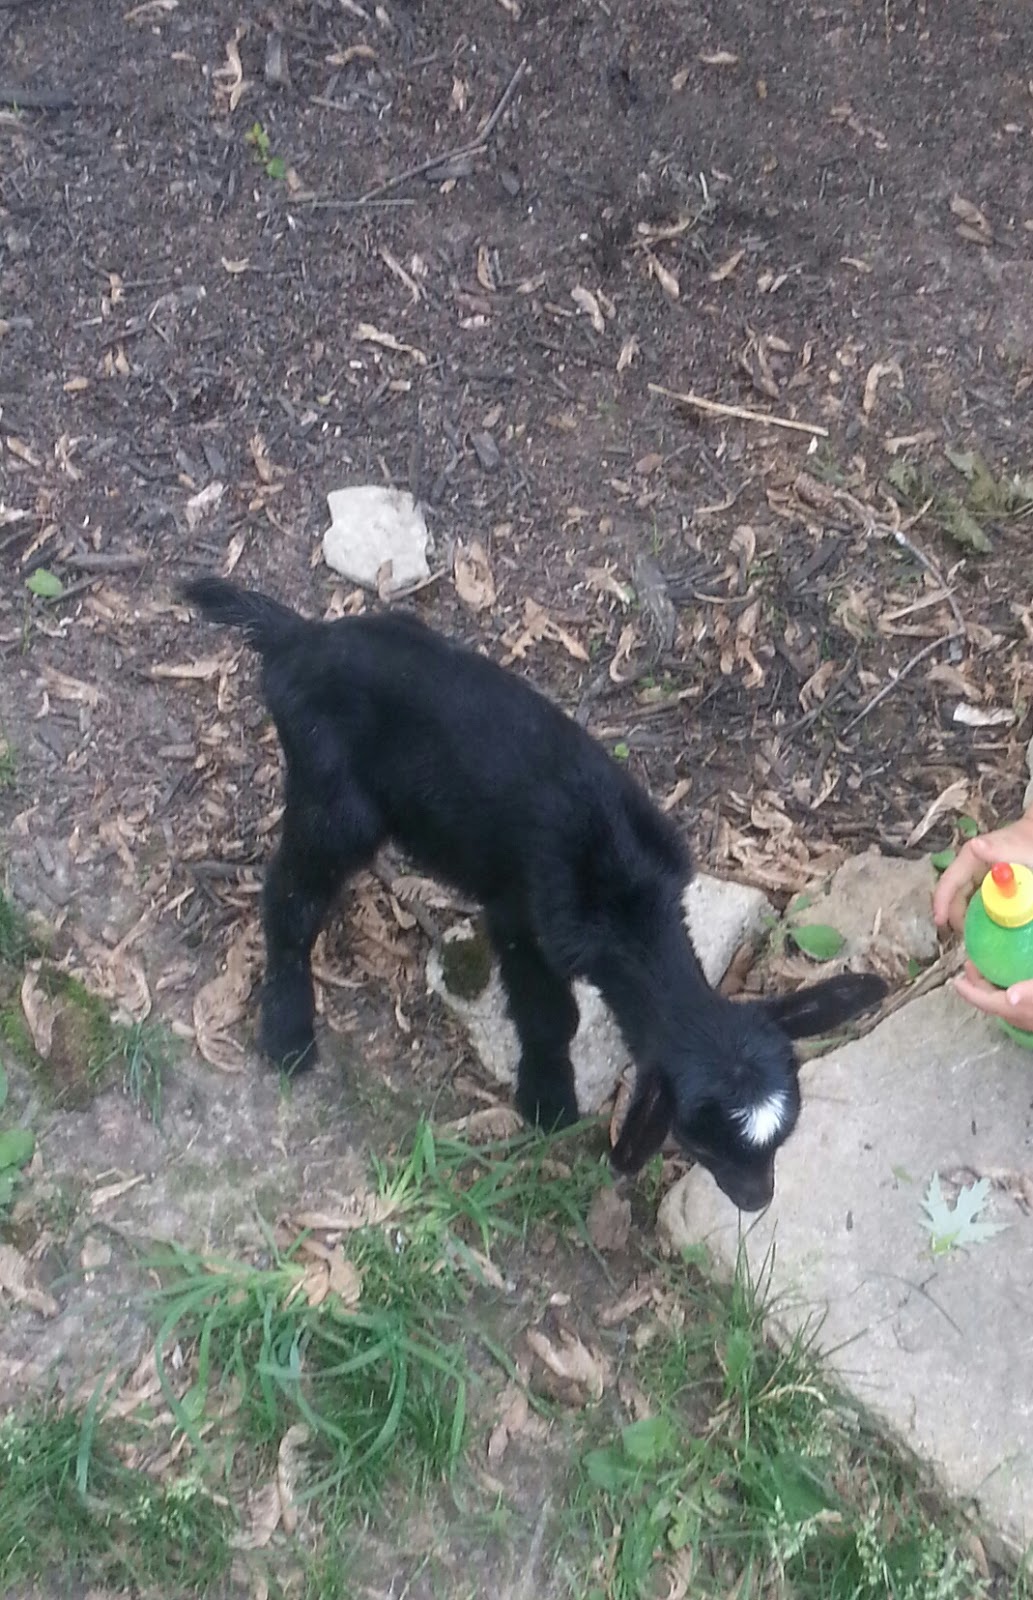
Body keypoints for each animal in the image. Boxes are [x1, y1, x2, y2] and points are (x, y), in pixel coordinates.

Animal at [180, 577, 886, 1211]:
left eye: (779, 1140)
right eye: (702, 1141)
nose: (757, 1200)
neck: (629, 901)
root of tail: (297, 640)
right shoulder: (524, 913)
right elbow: (552, 1015)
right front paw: (548, 1097)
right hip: (331, 790)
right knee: (293, 894)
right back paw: (287, 1025)